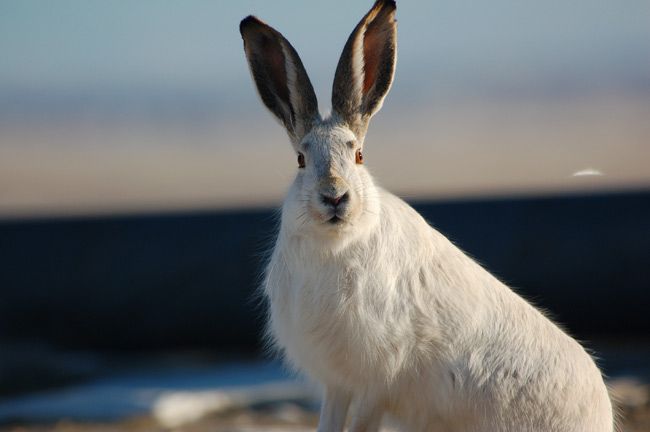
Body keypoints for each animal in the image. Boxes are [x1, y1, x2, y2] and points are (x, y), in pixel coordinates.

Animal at [239, 1, 614, 431]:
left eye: (359, 156)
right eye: (301, 160)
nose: (334, 196)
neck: (334, 245)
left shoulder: (378, 380)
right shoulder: (337, 383)